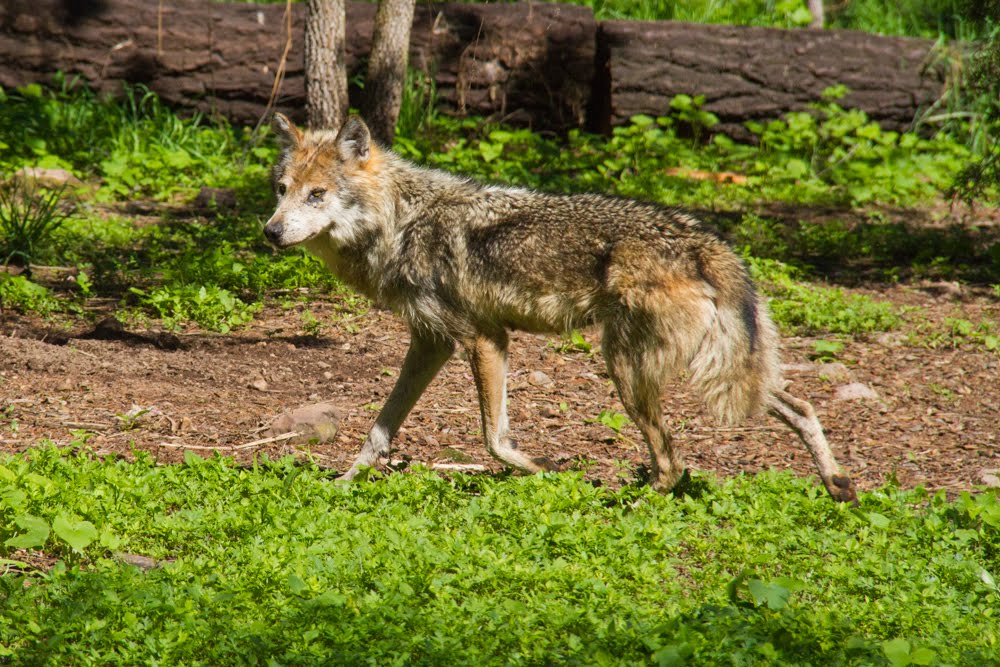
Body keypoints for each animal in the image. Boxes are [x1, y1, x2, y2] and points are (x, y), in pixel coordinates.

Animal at [264, 113, 857, 503]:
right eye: (281, 189)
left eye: (316, 195)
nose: (269, 232)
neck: (400, 221)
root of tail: (703, 240)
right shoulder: (431, 342)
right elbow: (379, 430)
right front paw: (344, 483)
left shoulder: (484, 339)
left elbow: (496, 440)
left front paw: (550, 471)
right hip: (716, 372)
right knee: (801, 408)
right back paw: (839, 485)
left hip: (627, 372)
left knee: (673, 462)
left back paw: (629, 506)